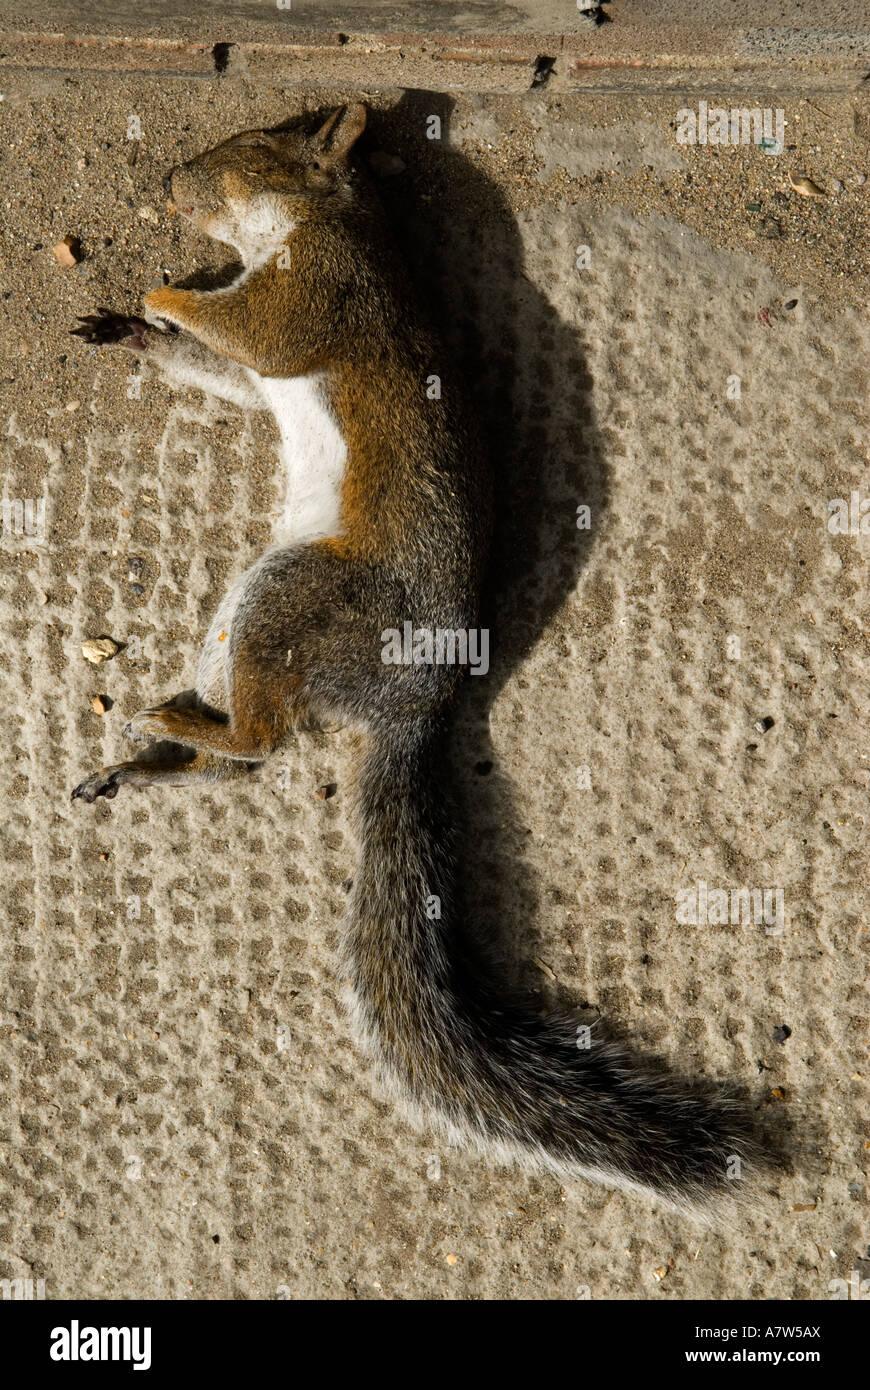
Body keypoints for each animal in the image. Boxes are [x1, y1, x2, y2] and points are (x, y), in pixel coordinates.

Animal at [71, 104, 762, 1215]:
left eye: (258, 146)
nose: (171, 182)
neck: (304, 227)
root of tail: (413, 705)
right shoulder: (269, 354)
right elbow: (226, 369)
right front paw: (138, 332)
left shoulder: (325, 295)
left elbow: (258, 333)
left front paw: (162, 293)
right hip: (248, 611)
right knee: (249, 751)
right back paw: (153, 754)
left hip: (297, 599)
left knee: (264, 741)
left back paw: (172, 729)